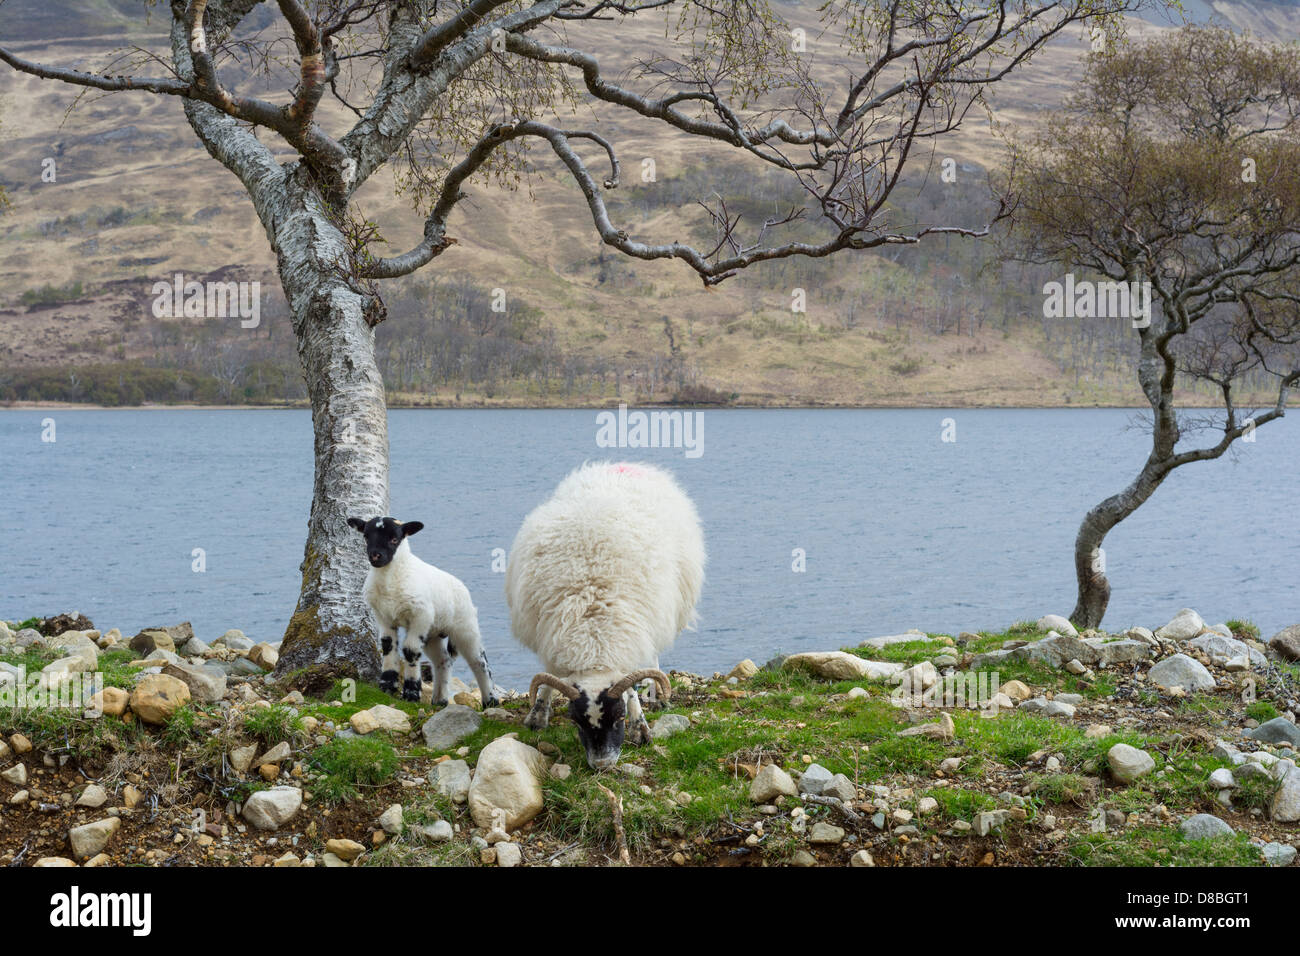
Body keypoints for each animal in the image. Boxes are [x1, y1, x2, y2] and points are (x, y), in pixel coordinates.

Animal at [347, 516, 498, 708]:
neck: (391, 579)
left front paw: (411, 693)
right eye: (366, 536)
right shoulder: (383, 616)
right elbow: (388, 646)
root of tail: (462, 587)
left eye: (394, 539)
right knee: (443, 660)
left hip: (464, 626)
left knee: (479, 661)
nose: (375, 556)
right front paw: (387, 686)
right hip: (433, 633)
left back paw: (491, 700)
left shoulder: (420, 616)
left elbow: (410, 650)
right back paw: (440, 700)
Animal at [504, 461, 705, 770]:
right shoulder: (550, 632)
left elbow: (631, 686)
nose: (602, 765)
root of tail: (625, 465)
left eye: (619, 716)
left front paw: (640, 727)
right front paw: (538, 715)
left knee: (653, 654)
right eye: (576, 722)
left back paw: (656, 693)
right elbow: (550, 675)